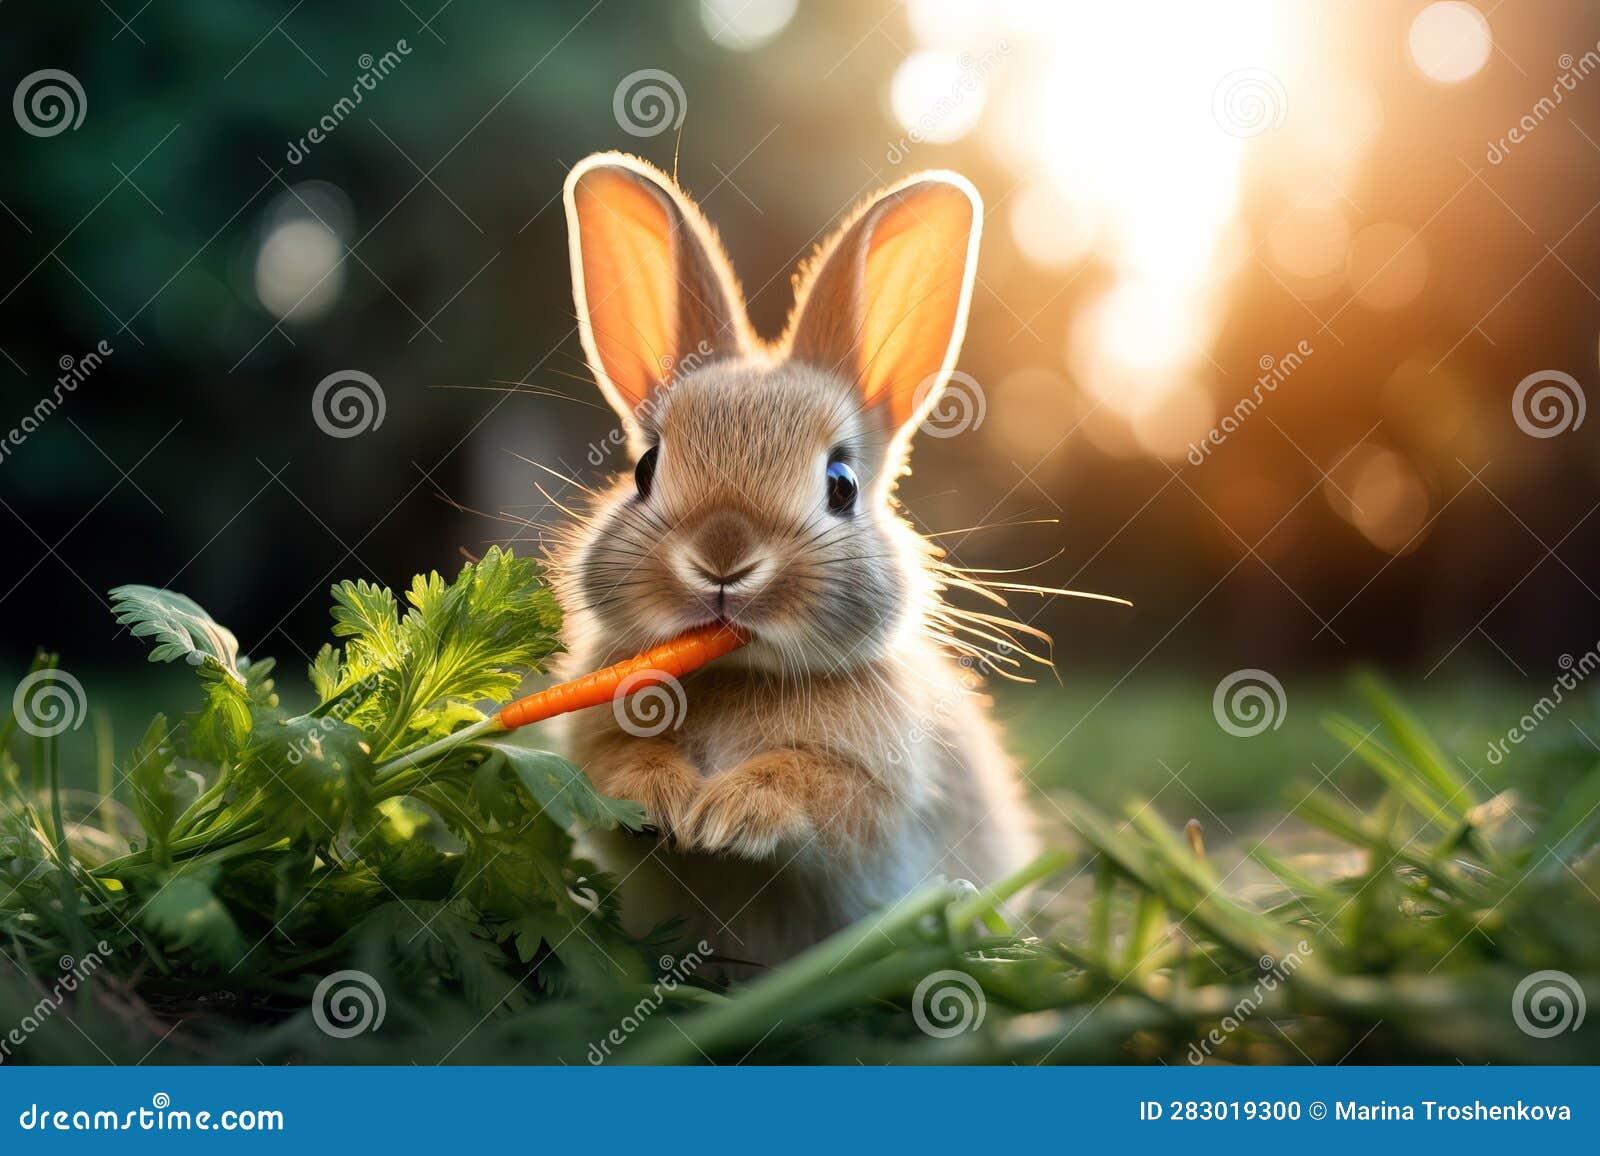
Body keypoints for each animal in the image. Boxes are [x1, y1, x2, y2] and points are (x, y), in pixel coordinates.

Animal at [548, 151, 1040, 970]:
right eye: (645, 469)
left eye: (841, 484)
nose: (722, 559)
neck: (739, 671)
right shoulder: (596, 747)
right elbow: (616, 767)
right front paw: (667, 800)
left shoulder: (874, 786)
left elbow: (815, 790)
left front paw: (728, 813)